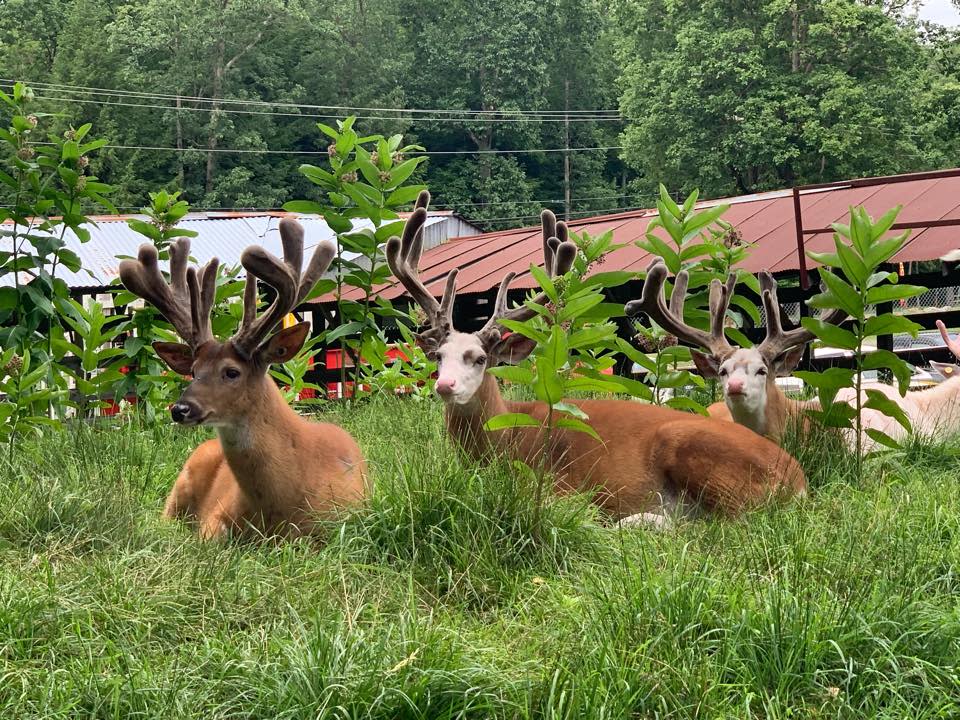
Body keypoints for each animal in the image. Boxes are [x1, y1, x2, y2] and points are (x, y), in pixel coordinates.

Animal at [387, 191, 806, 526]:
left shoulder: (557, 486)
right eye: (438, 356)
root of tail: (796, 477)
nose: (445, 385)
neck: (504, 436)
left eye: (478, 358)